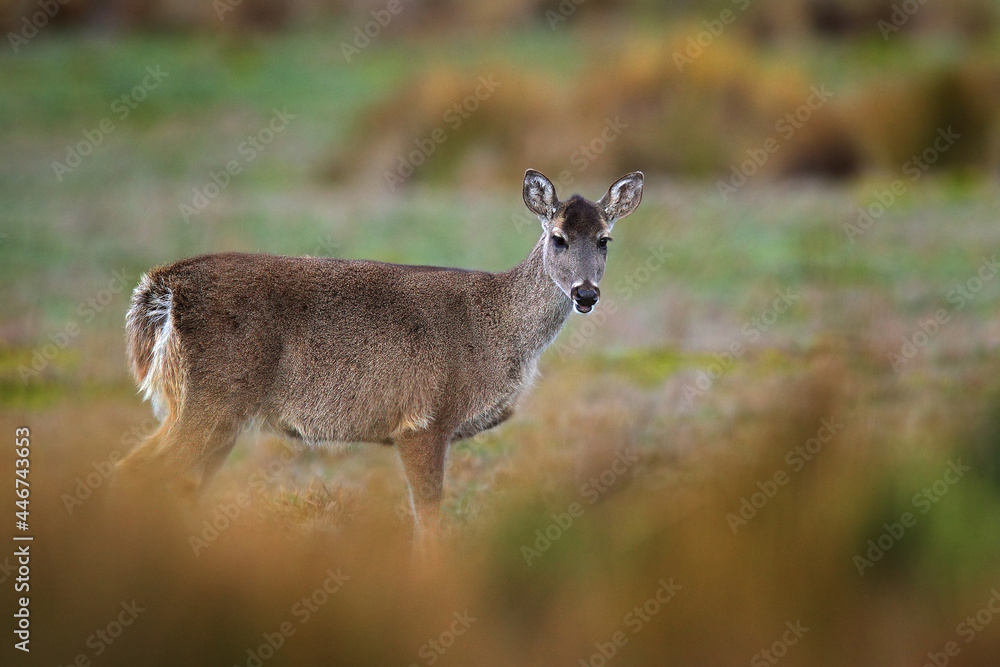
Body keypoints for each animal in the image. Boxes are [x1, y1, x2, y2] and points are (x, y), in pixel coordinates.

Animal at [117, 169, 644, 544]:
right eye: (557, 238)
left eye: (605, 240)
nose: (586, 293)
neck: (495, 332)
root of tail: (164, 290)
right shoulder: (424, 420)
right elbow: (428, 523)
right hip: (210, 401)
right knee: (133, 472)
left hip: (211, 413)